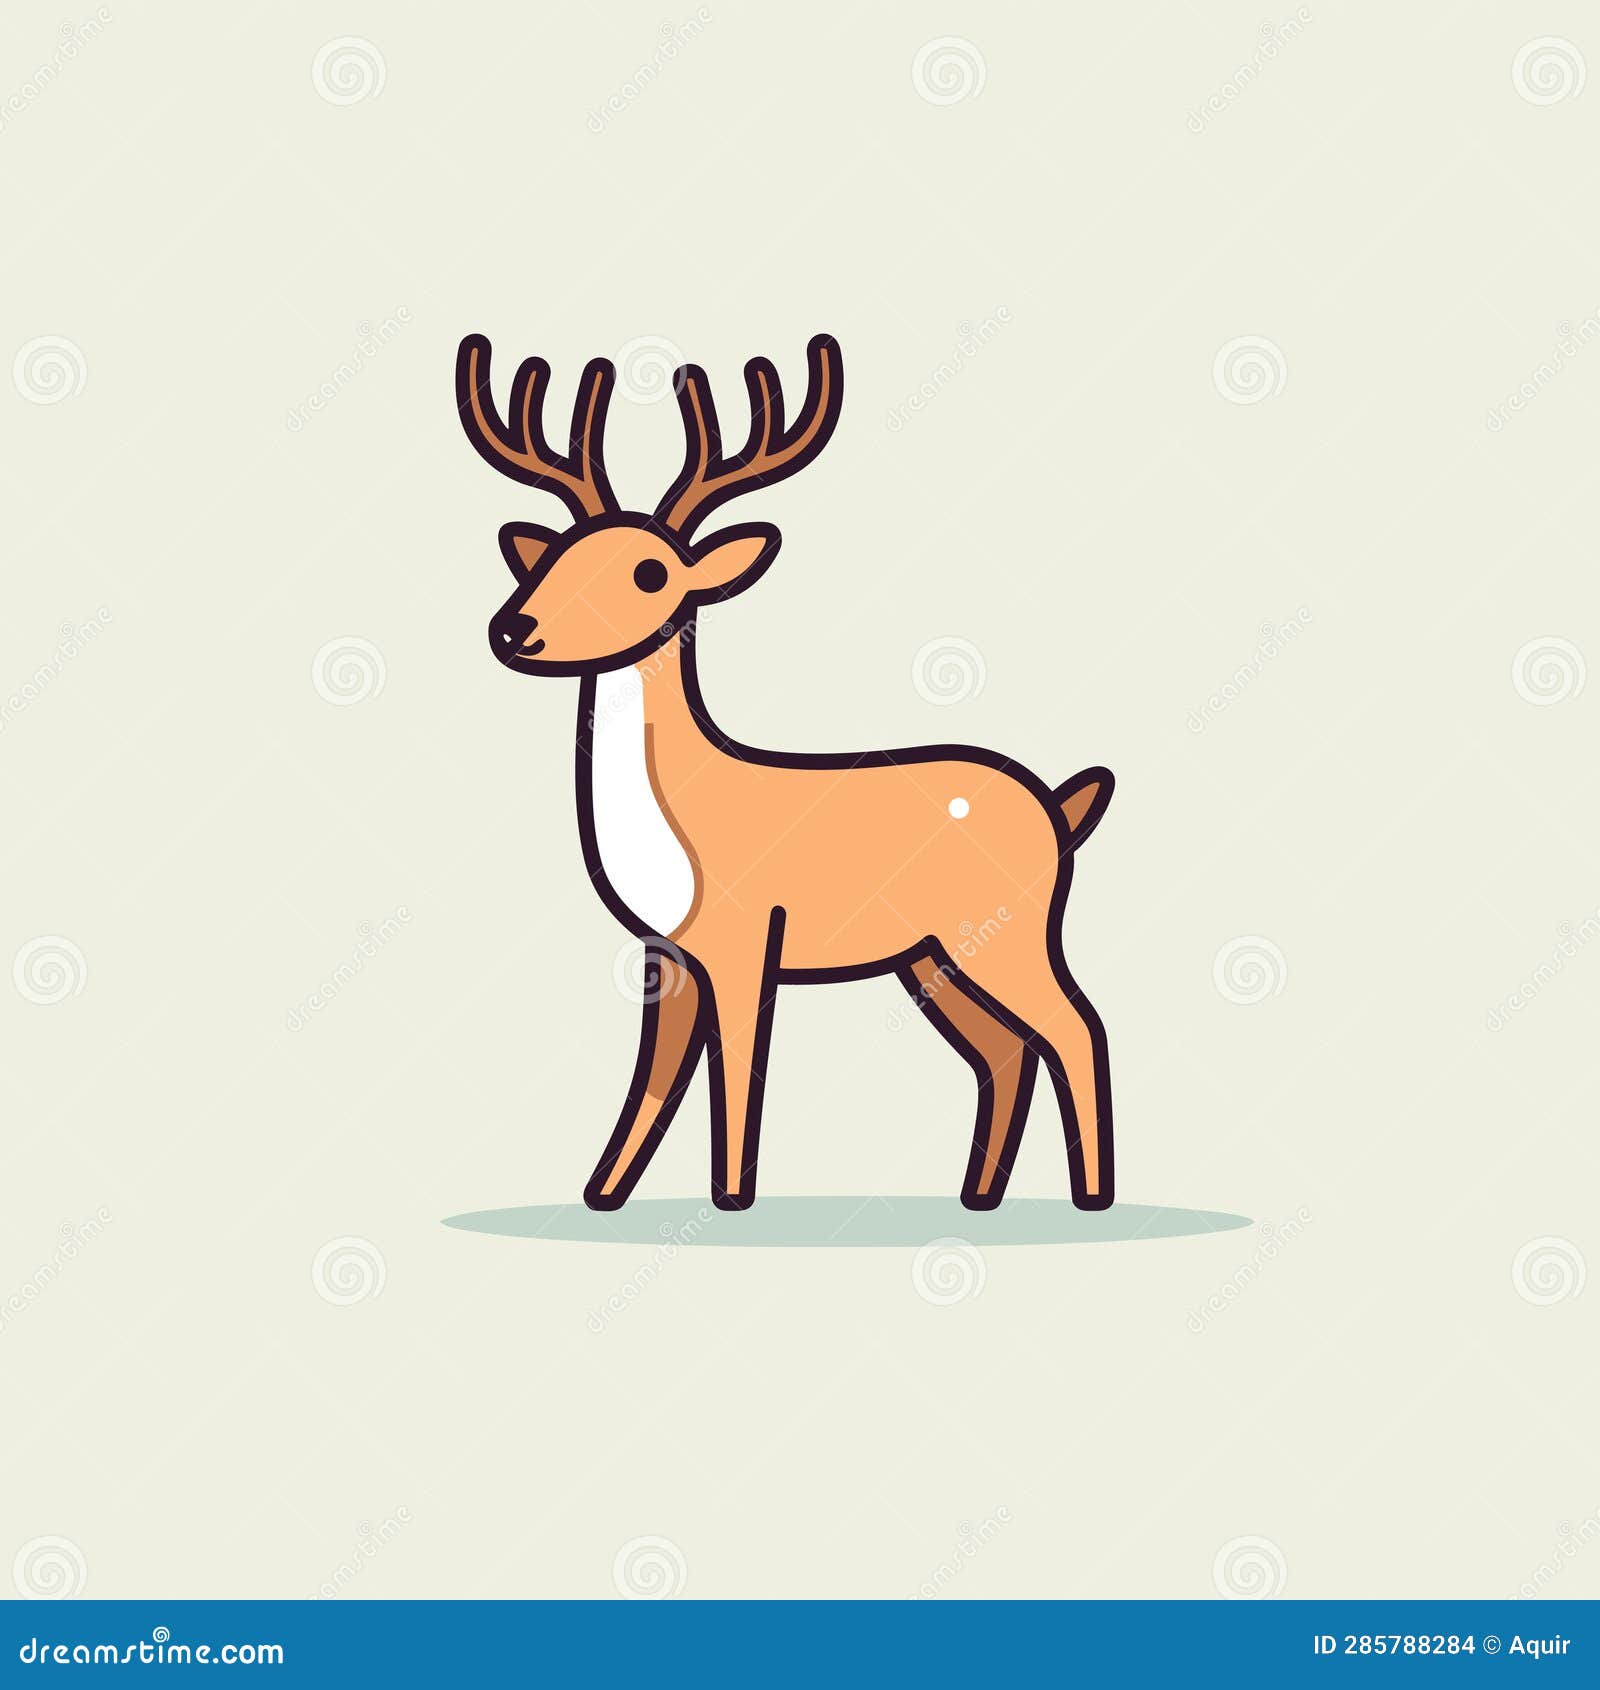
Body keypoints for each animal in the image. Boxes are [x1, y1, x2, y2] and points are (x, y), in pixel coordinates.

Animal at [456, 331, 1116, 1214]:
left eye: (651, 572)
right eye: (555, 554)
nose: (513, 629)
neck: (682, 819)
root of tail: (1060, 808)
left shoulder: (743, 939)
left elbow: (737, 1066)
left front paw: (731, 1199)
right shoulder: (667, 952)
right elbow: (654, 1079)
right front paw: (604, 1192)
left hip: (1009, 930)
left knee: (1076, 1025)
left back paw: (1092, 1195)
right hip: (935, 955)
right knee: (1005, 1050)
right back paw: (978, 1196)